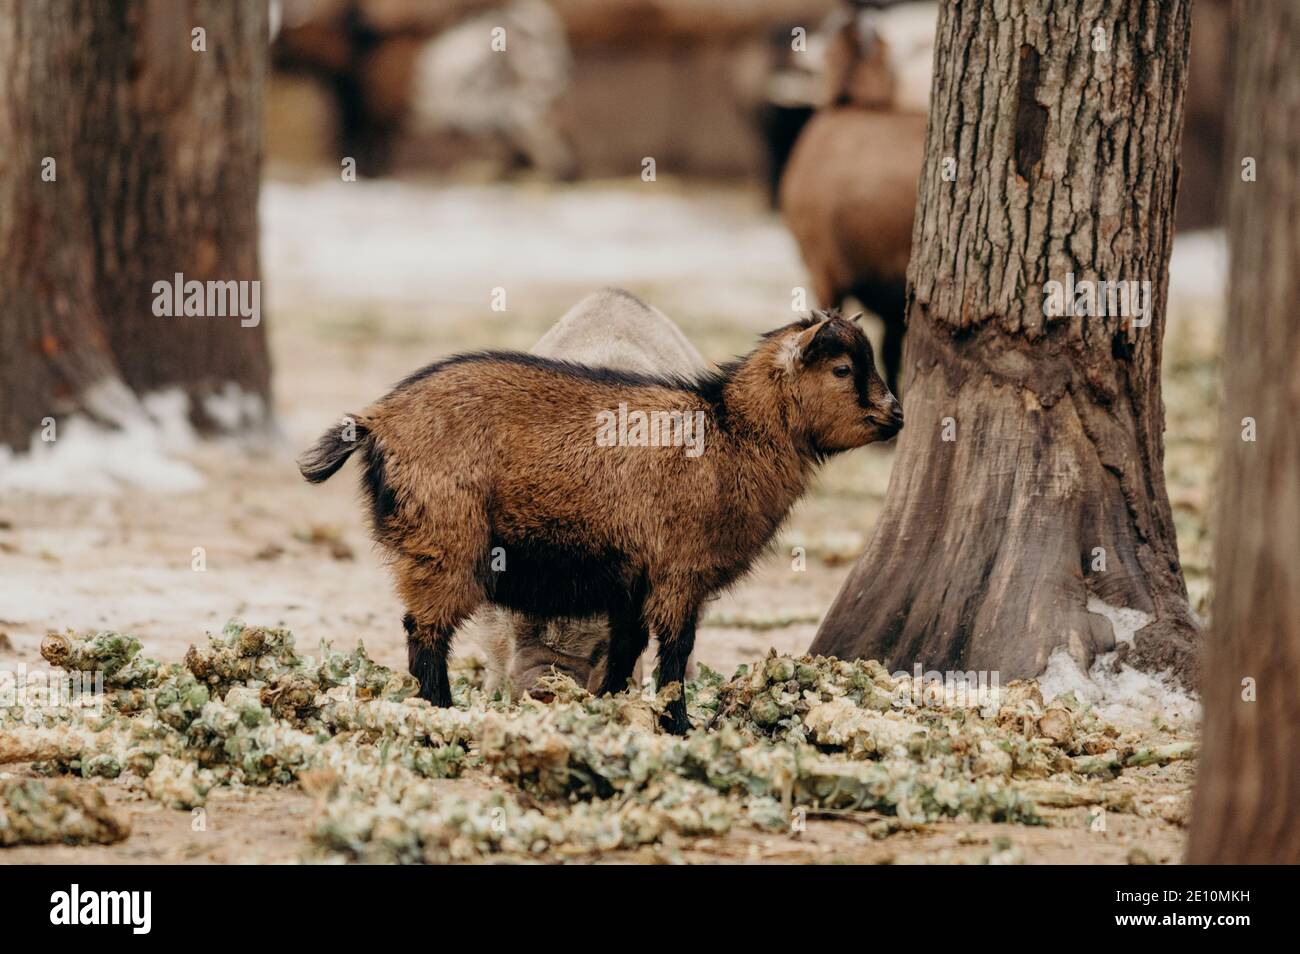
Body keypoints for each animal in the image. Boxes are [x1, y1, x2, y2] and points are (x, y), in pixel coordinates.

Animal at [300, 311, 902, 733]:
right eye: (843, 369)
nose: (896, 413)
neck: (730, 433)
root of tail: (376, 420)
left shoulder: (634, 581)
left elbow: (627, 647)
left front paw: (613, 705)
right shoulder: (677, 574)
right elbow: (675, 653)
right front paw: (679, 726)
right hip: (445, 544)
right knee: (425, 630)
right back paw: (441, 708)